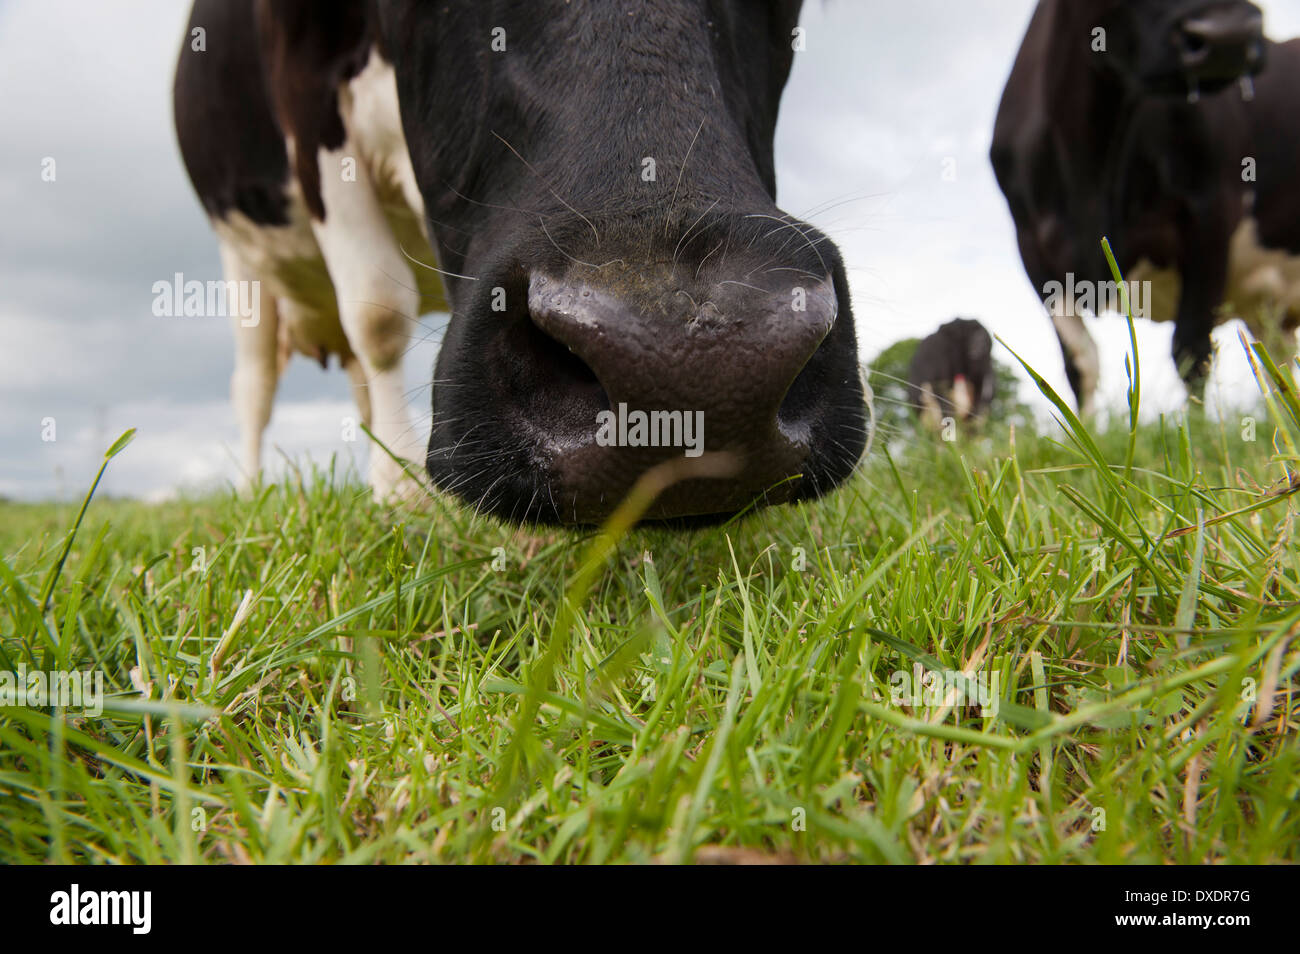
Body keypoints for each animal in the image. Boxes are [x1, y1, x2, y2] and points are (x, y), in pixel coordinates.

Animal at [173, 0, 868, 525]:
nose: (700, 368)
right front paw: (400, 496)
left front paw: (393, 481)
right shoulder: (308, 93)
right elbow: (379, 314)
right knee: (255, 386)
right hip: (244, 264)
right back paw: (259, 491)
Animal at [991, 0, 1300, 415]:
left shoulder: (1212, 208)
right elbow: (1079, 363)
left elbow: (1190, 349)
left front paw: (1200, 426)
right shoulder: (1031, 245)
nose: (1230, 36)